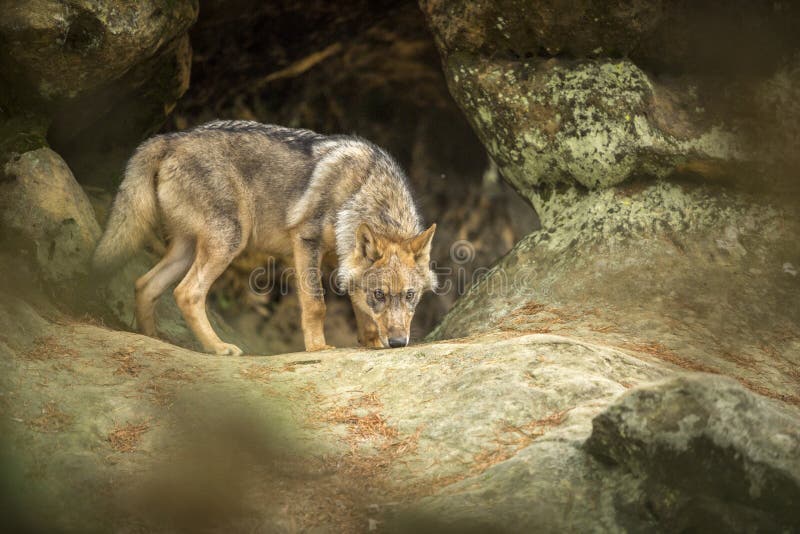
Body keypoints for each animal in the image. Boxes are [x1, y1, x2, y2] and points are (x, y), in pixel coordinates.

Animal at [92, 120, 437, 355]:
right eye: (379, 294)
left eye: (409, 296)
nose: (398, 342)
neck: (361, 189)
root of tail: (169, 138)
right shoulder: (306, 242)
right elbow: (316, 304)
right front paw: (318, 348)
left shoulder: (343, 255)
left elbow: (358, 307)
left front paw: (370, 342)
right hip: (230, 241)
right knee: (186, 293)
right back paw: (219, 348)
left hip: (187, 250)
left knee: (144, 284)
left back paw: (154, 341)